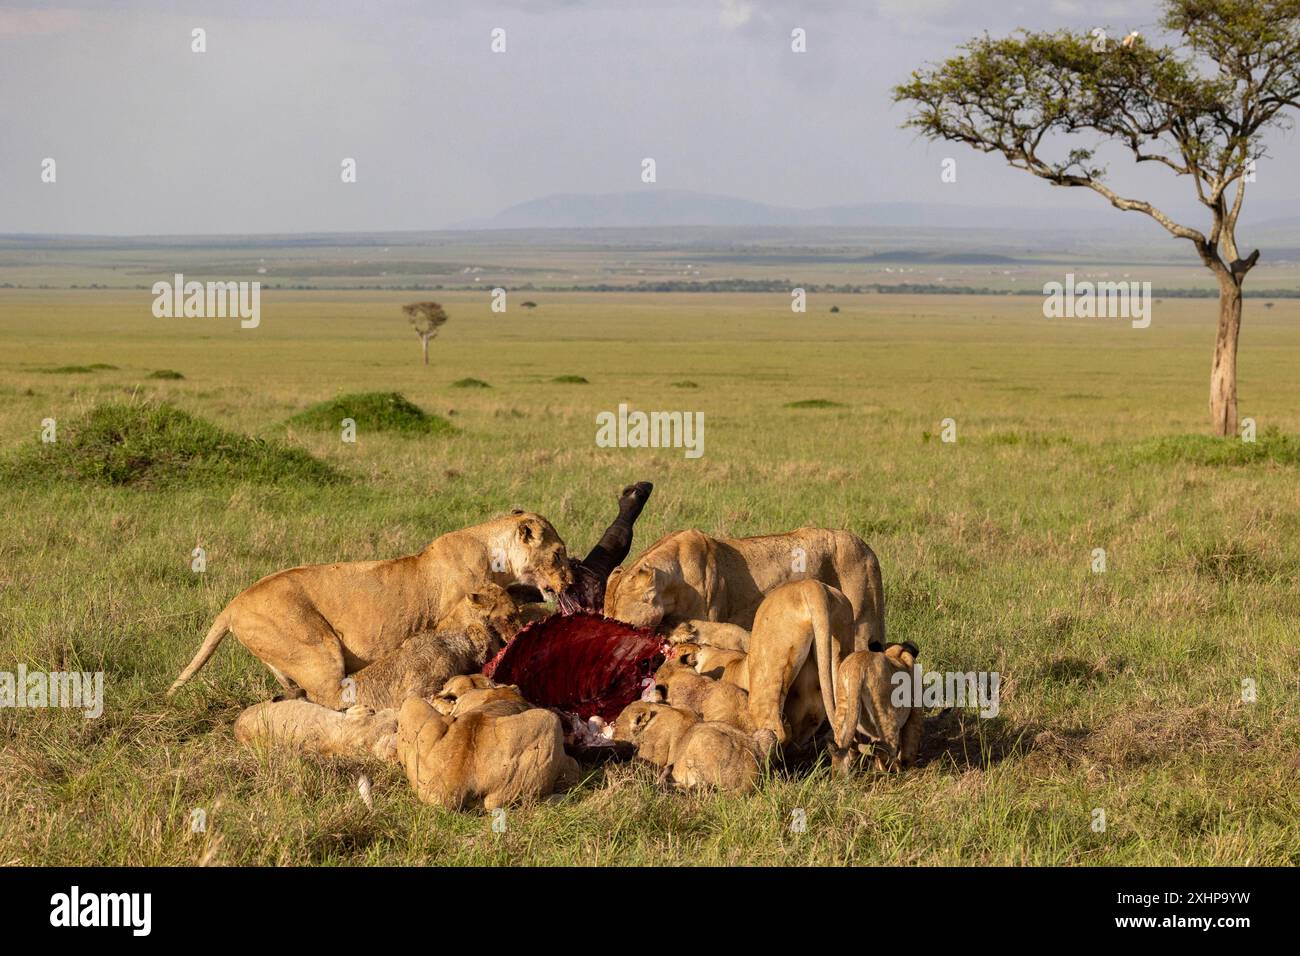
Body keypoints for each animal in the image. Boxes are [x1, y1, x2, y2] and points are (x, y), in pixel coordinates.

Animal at [168, 511, 571, 707]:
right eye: (558, 553)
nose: (569, 582)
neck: (496, 556)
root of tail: (233, 604)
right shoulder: (457, 619)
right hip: (319, 650)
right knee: (330, 697)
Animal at [612, 701, 774, 793]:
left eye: (615, 725)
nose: (612, 738)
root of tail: (752, 774)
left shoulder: (652, 756)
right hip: (767, 735)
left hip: (700, 738)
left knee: (702, 788)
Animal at [831, 642, 924, 773]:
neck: (894, 654)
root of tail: (857, 666)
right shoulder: (915, 712)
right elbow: (910, 741)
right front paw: (910, 766)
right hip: (887, 715)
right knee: (886, 749)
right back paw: (896, 771)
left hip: (843, 707)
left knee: (841, 747)